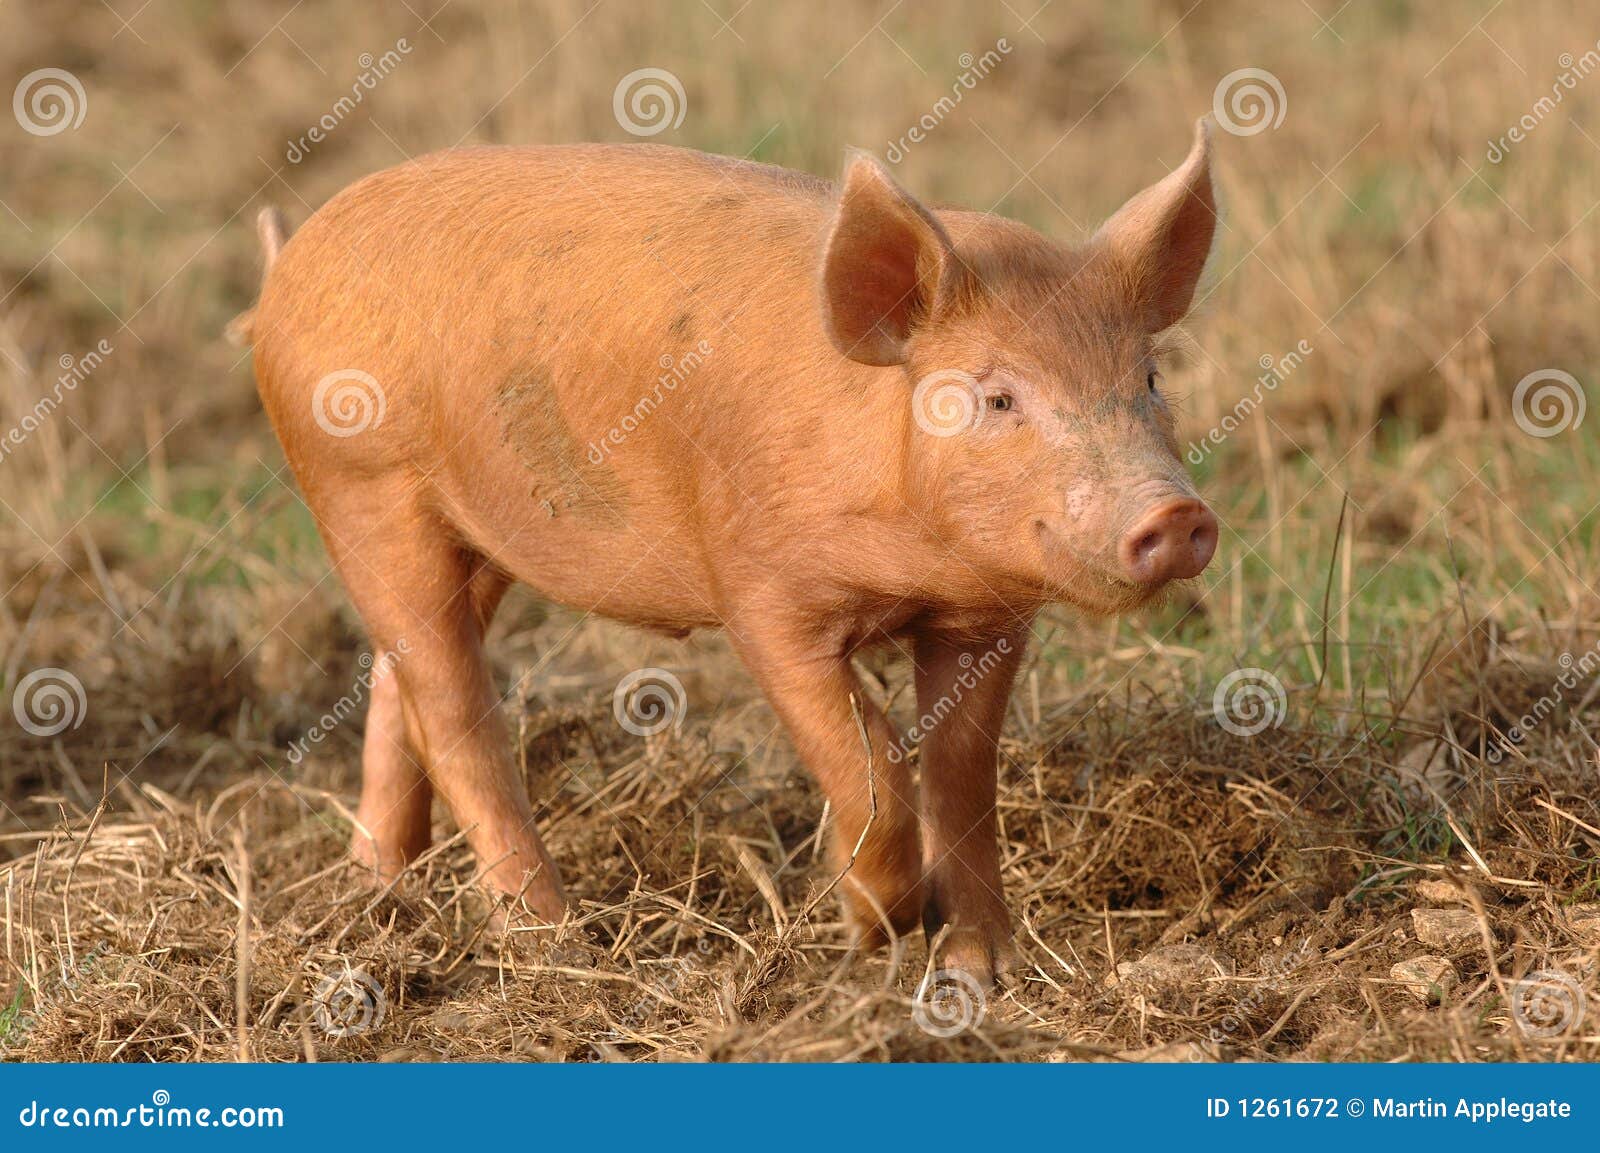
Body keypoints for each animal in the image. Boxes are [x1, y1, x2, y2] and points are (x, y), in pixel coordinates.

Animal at [236, 118, 1220, 985]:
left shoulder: (985, 618)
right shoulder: (765, 593)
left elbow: (964, 776)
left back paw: (377, 886)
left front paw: (981, 971)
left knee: (396, 677)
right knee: (452, 708)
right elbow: (868, 754)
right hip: (361, 487)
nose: (1174, 513)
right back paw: (555, 943)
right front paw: (871, 928)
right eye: (999, 399)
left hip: (471, 538)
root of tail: (288, 263)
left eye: (1148, 379)